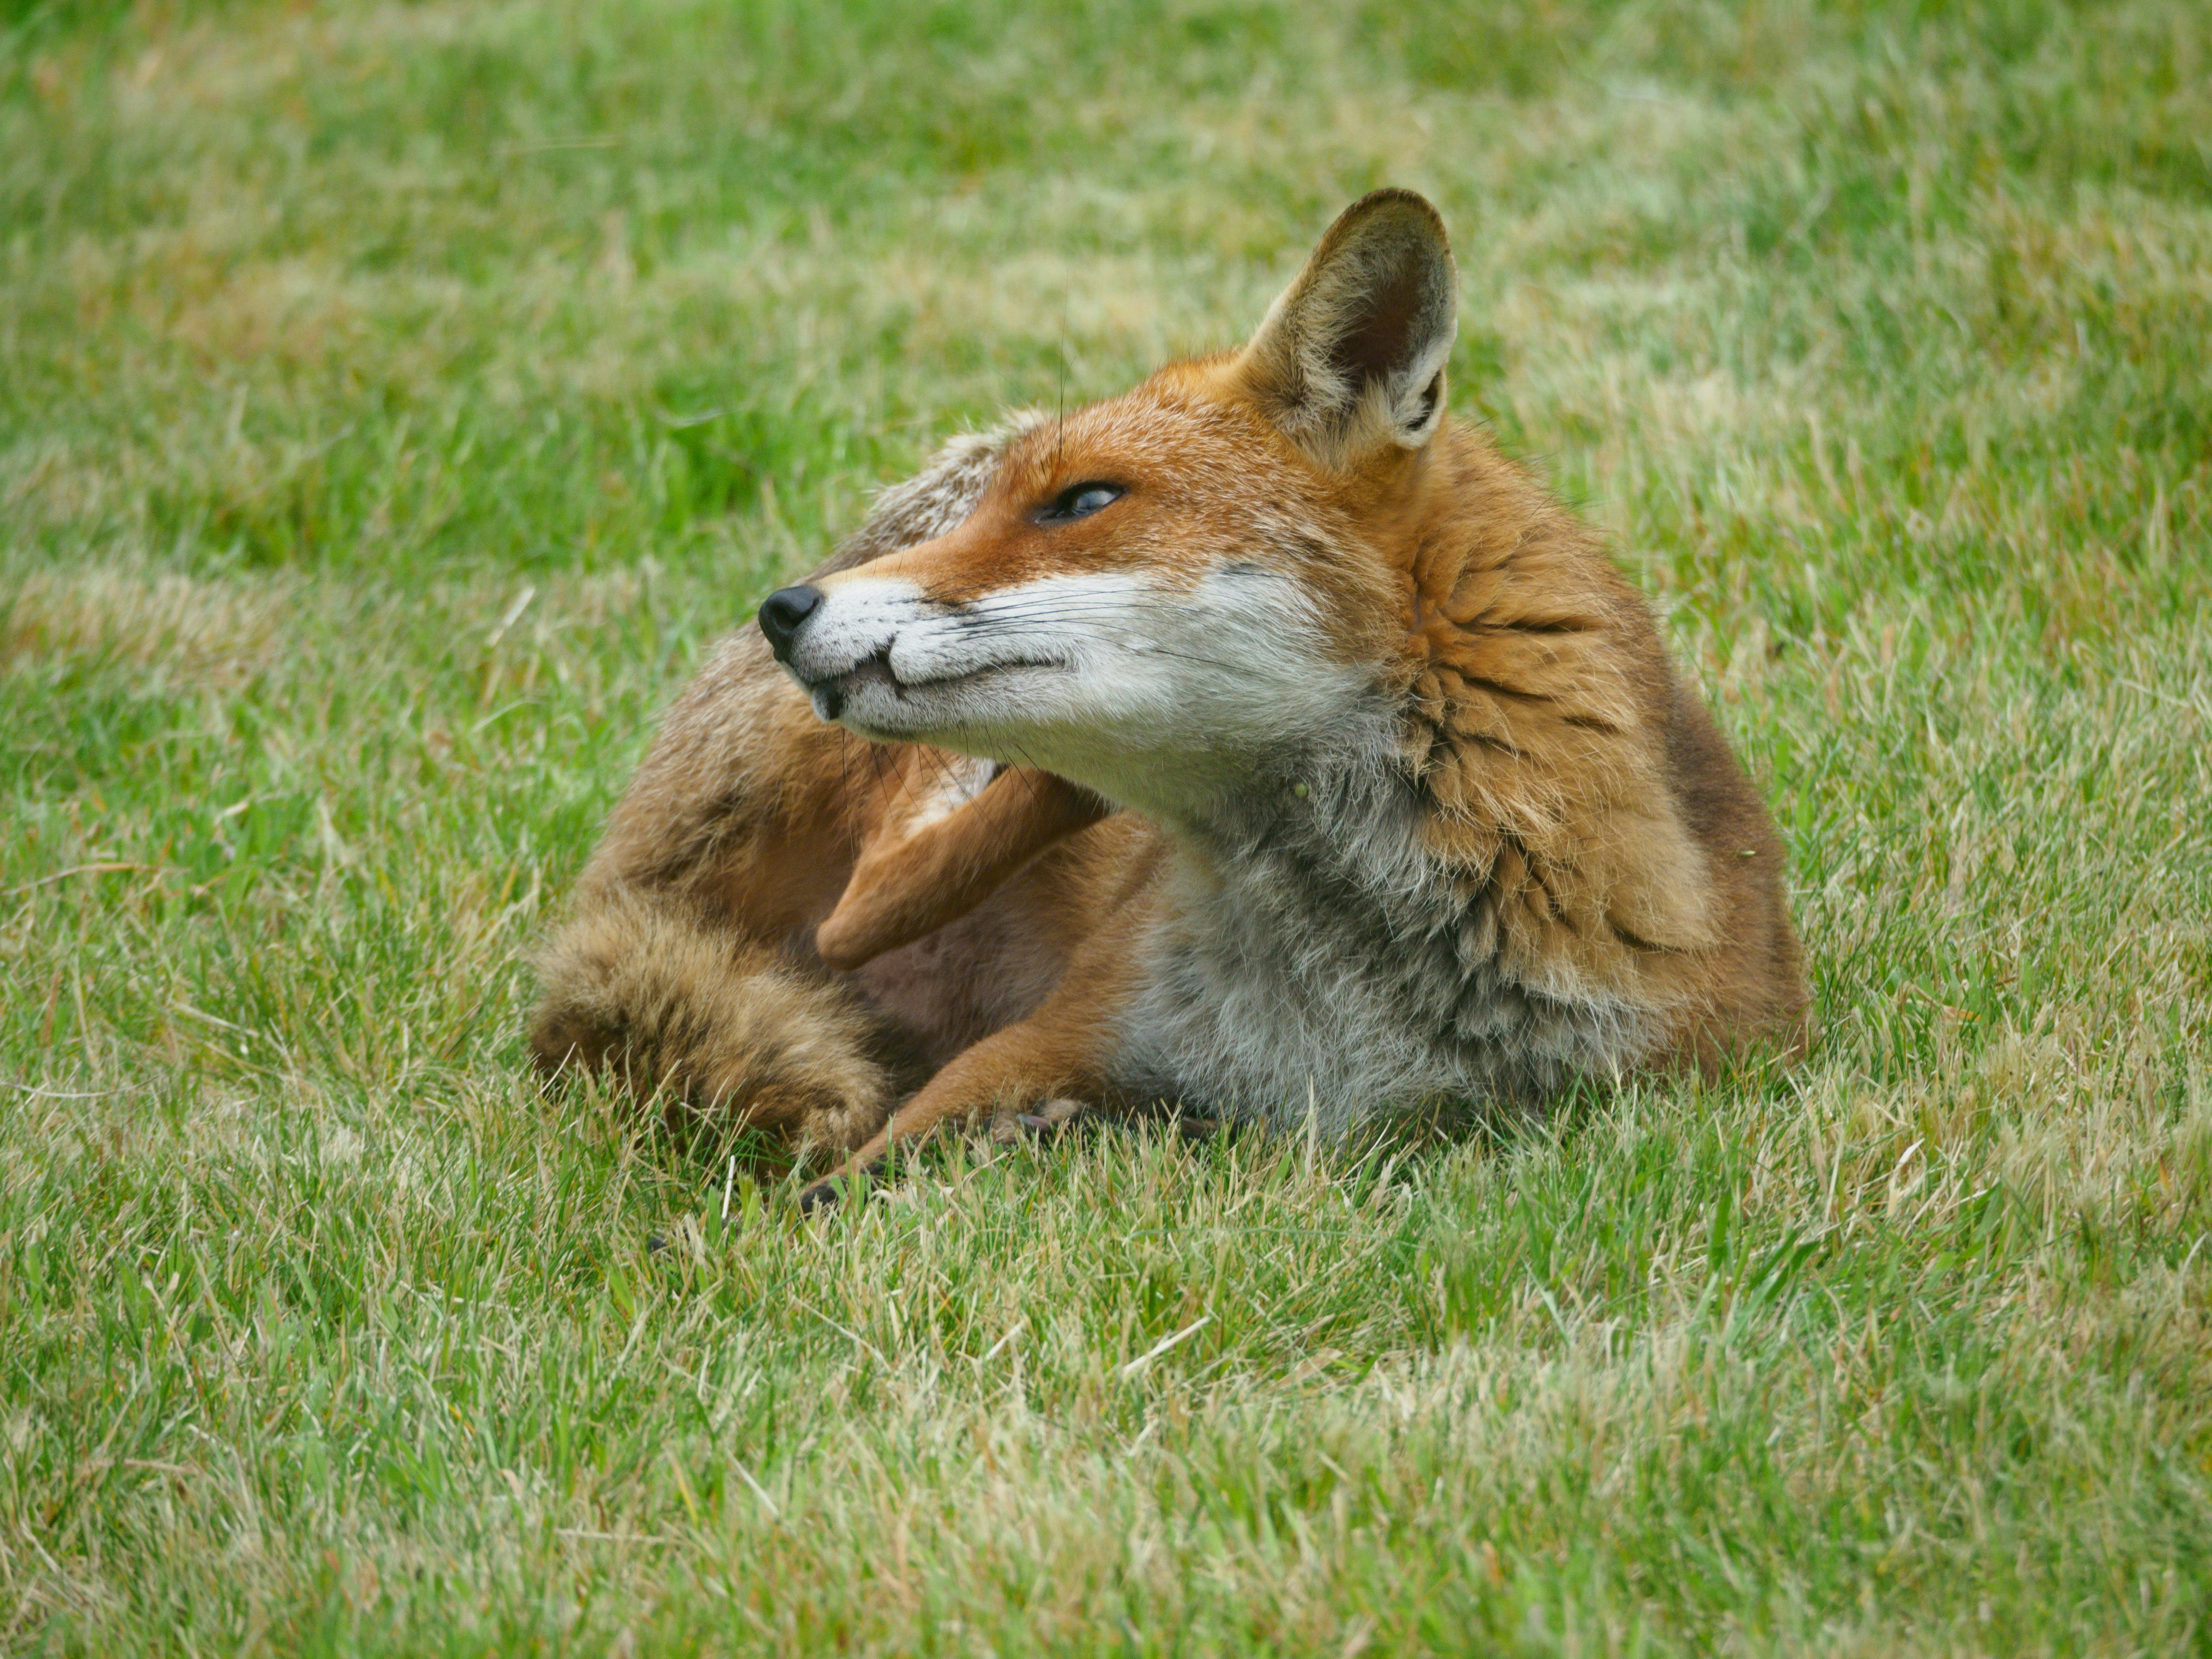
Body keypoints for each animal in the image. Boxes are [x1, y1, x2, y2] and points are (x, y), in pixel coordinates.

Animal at [529, 189, 1810, 1210]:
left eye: (1085, 501)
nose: (784, 609)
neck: (1350, 1002)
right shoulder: (1042, 1043)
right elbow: (826, 1198)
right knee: (865, 902)